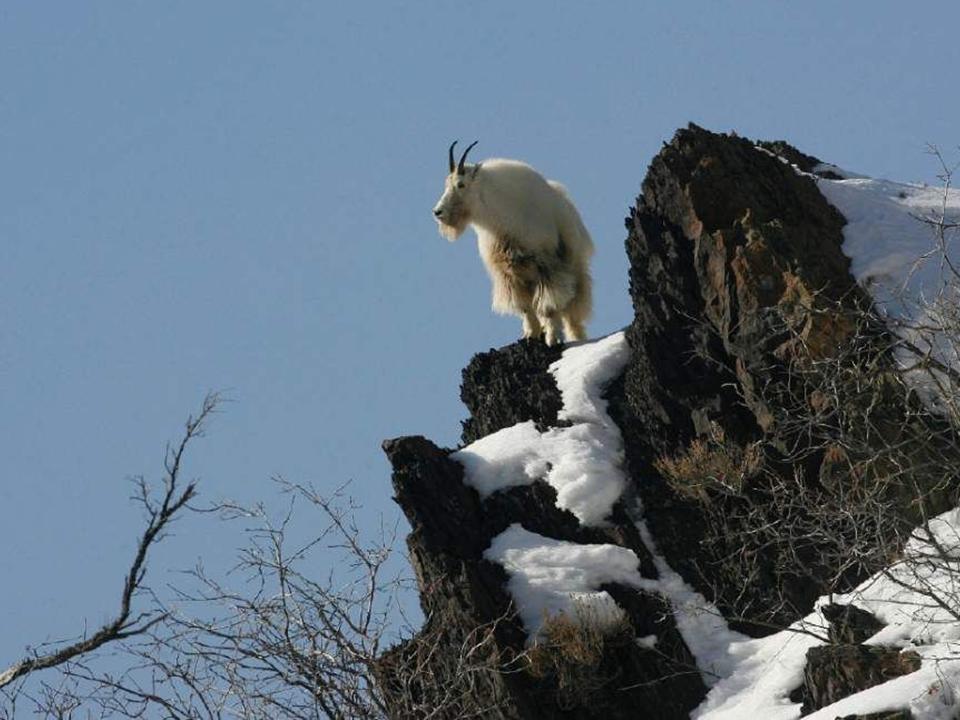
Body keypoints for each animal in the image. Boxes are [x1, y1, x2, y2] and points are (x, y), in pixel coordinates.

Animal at [432, 141, 593, 346]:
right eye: (446, 184)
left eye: (461, 184)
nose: (438, 212)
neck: (499, 222)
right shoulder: (508, 274)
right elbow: (524, 307)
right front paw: (530, 334)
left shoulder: (546, 267)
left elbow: (548, 305)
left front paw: (552, 338)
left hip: (575, 268)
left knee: (572, 313)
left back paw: (576, 338)